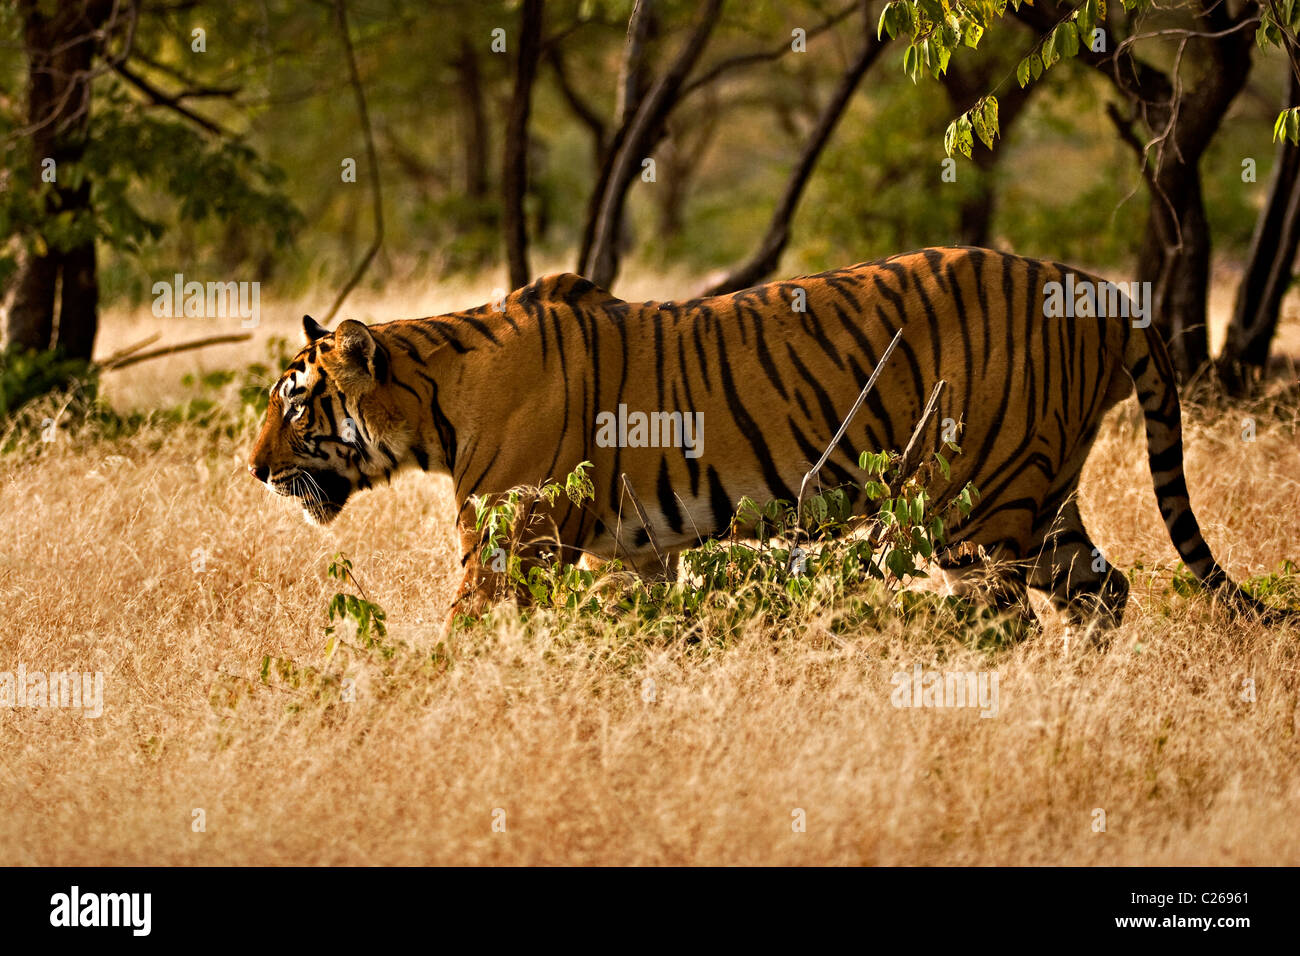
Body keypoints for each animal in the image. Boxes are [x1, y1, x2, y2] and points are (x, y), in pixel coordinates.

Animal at [248, 246, 1281, 630]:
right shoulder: (640, 553)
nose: (252, 471)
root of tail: (1096, 289)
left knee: (1004, 621)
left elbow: (459, 639)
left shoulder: (511, 545)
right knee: (1108, 589)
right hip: (1041, 488)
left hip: (980, 510)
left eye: (294, 409)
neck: (433, 399)